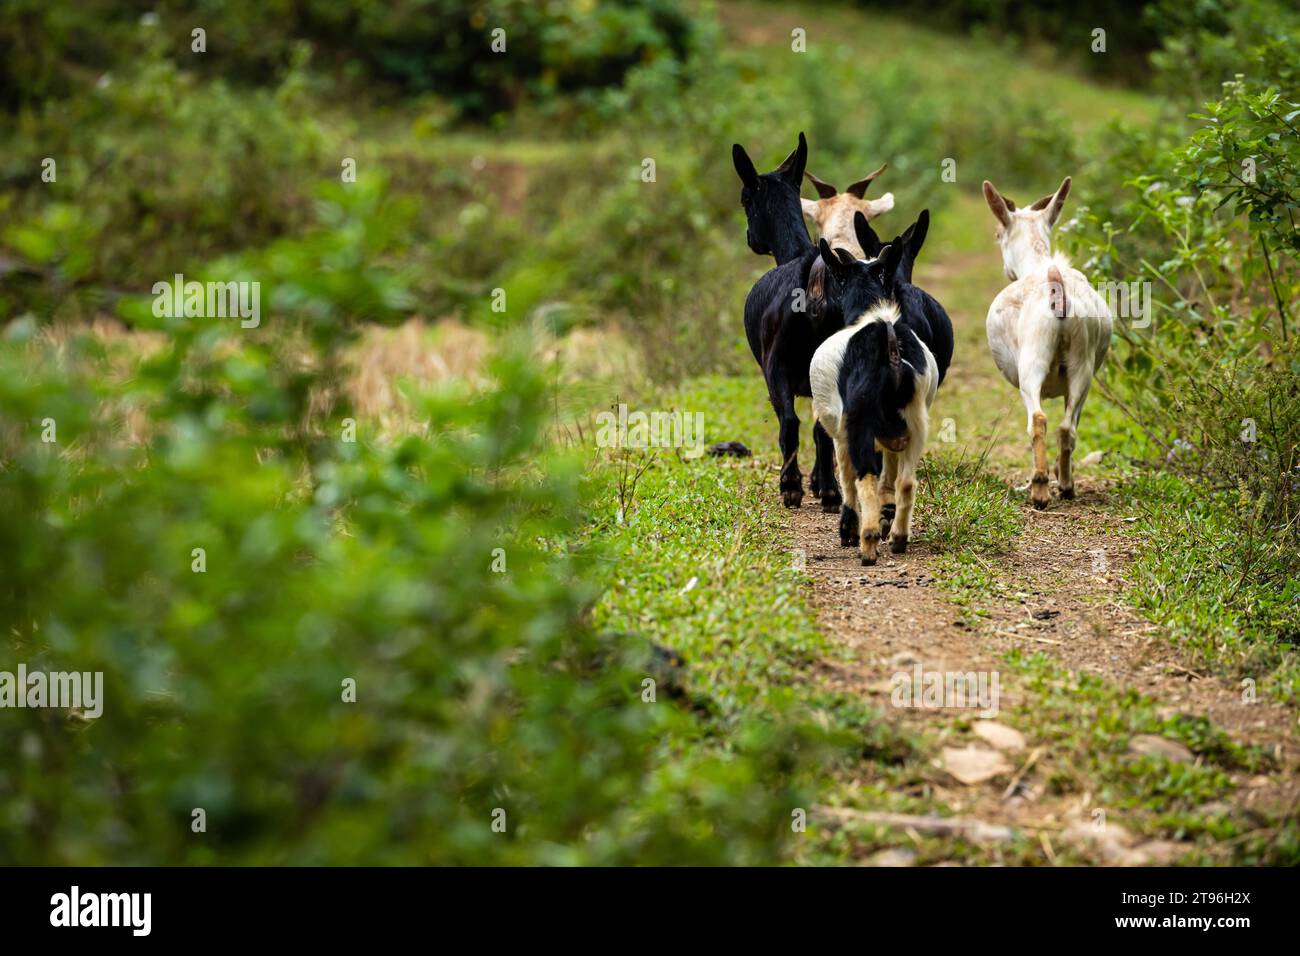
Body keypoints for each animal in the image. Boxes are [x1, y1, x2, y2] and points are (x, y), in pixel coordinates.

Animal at [733, 132, 842, 510]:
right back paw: (829, 490)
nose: (750, 239)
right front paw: (821, 483)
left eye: (745, 200)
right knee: (822, 428)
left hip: (775, 365)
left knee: (790, 422)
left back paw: (791, 485)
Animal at [810, 237, 941, 565]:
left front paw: (848, 529)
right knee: (905, 480)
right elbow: (889, 474)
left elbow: (847, 475)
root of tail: (888, 341)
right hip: (916, 422)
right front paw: (885, 518)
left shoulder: (841, 427)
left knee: (865, 474)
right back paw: (898, 537)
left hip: (859, 418)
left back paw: (868, 541)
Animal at [981, 177, 1112, 508]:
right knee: (1068, 428)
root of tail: (1059, 294)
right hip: (1083, 363)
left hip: (1032, 357)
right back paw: (1066, 486)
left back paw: (1039, 489)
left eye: (998, 234)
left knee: (1038, 419)